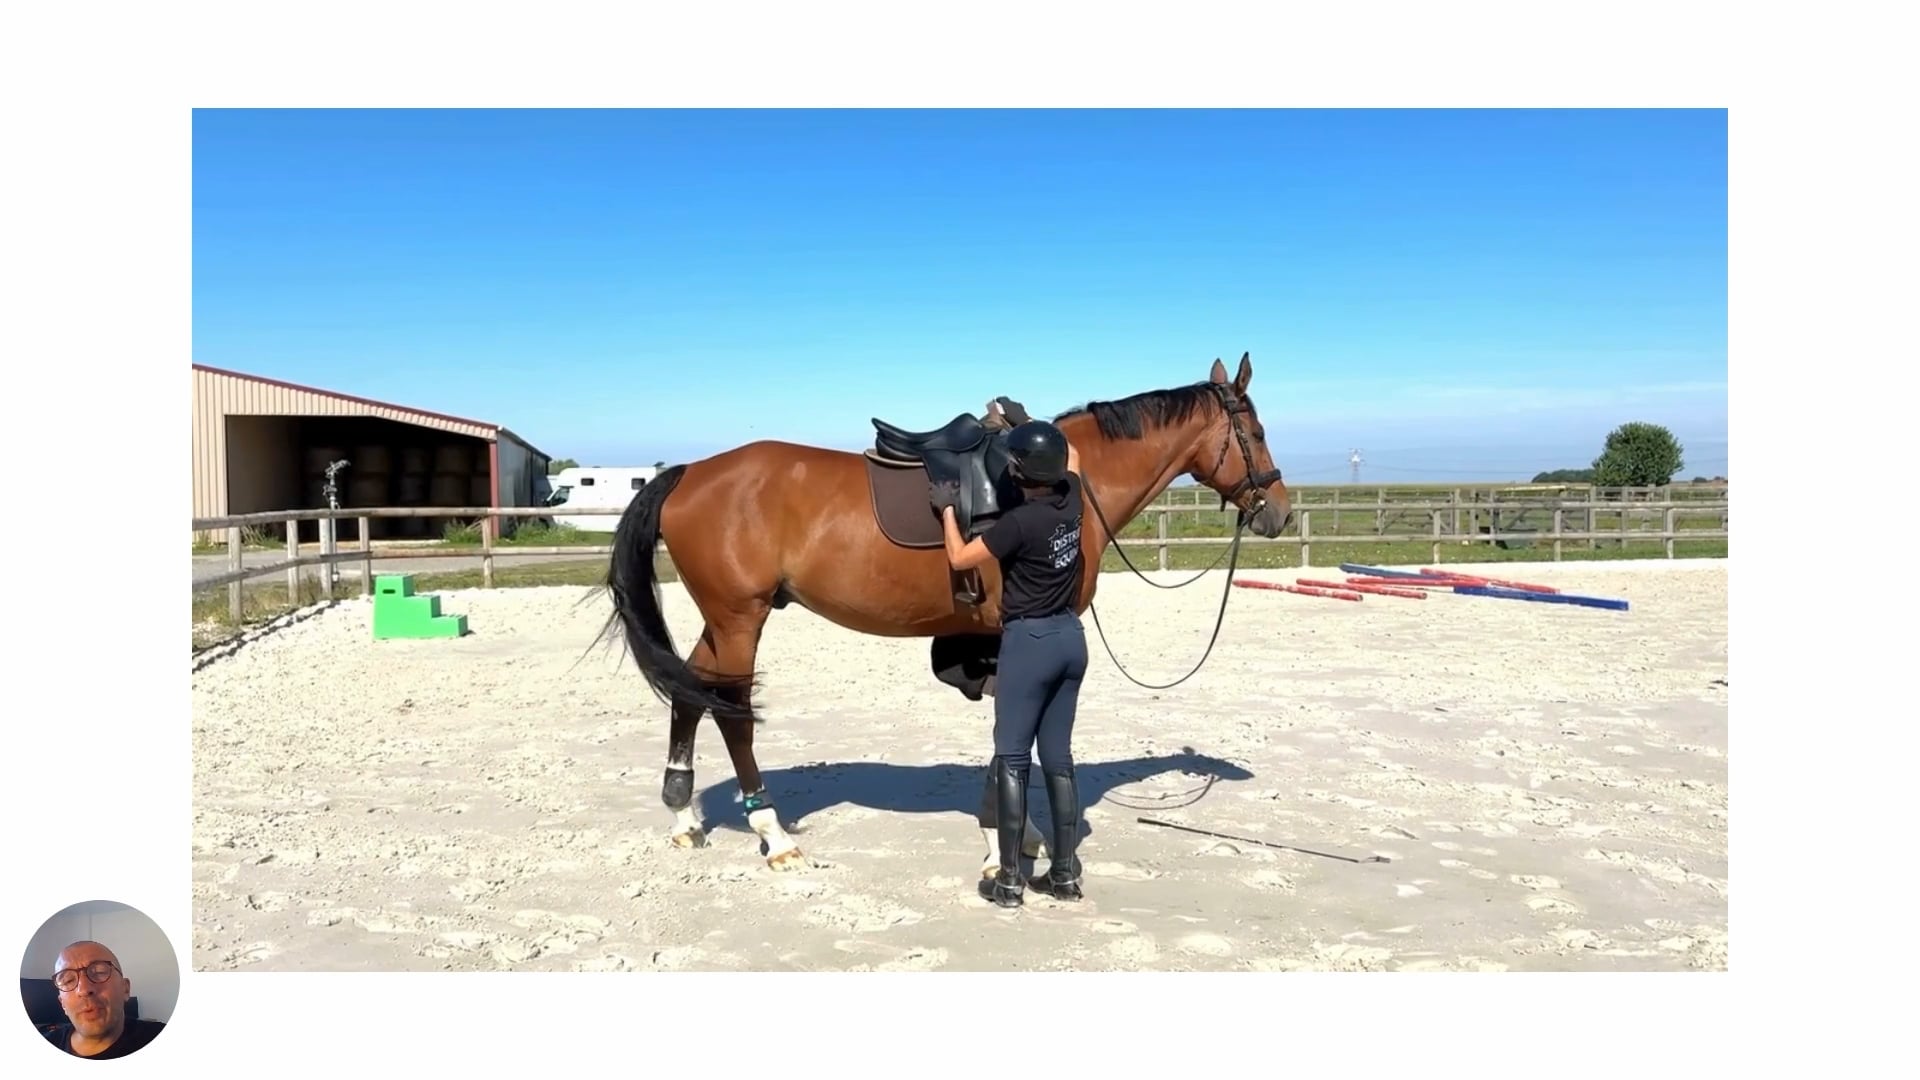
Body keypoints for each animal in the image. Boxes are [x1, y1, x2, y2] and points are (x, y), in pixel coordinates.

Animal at [597, 352, 1292, 873]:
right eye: (1256, 434)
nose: (1279, 513)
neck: (1068, 477)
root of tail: (689, 473)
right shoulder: (1016, 632)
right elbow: (1014, 734)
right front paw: (1003, 843)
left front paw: (1017, 835)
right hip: (741, 617)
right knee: (731, 710)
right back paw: (774, 834)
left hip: (723, 620)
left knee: (692, 691)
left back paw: (683, 814)